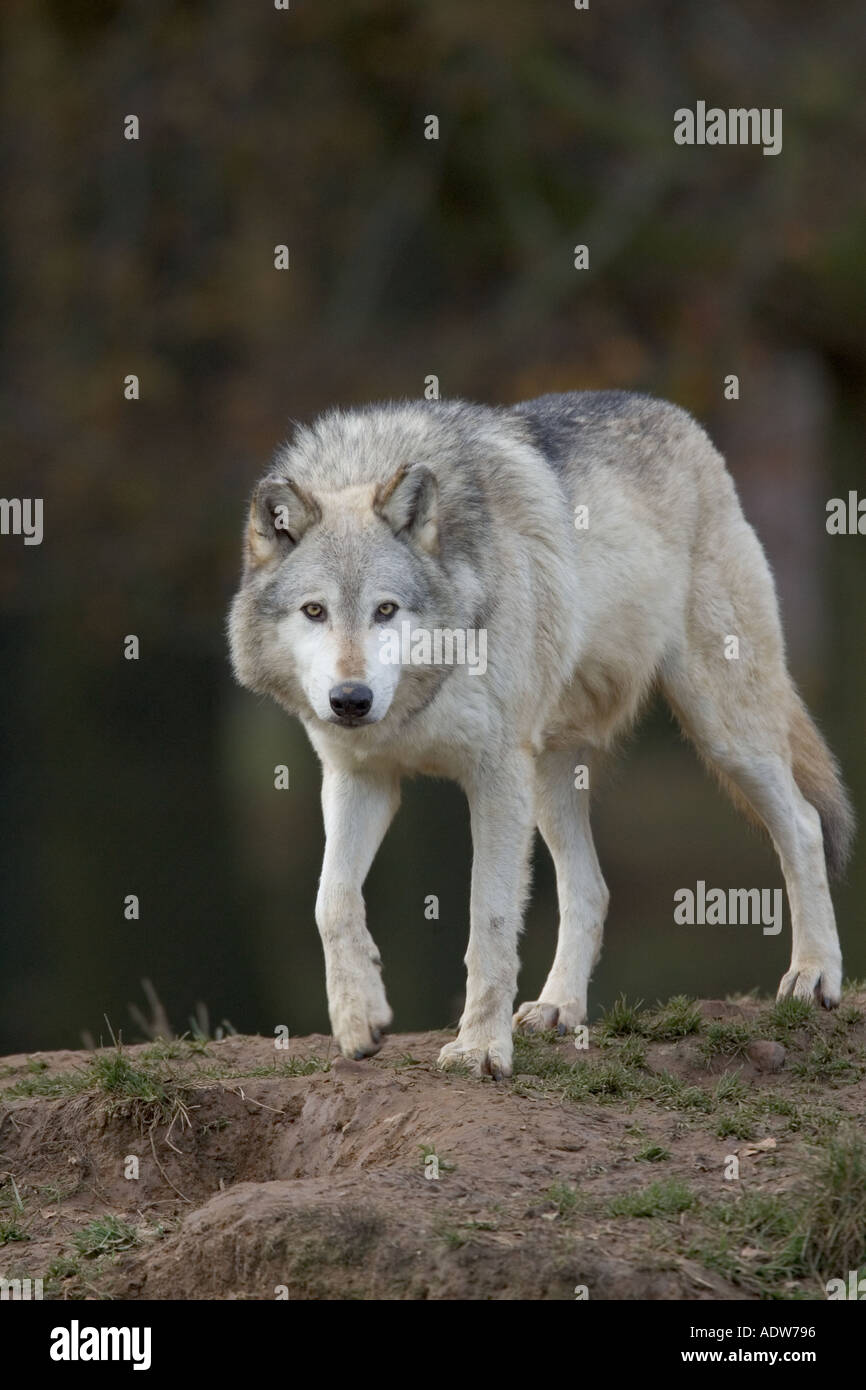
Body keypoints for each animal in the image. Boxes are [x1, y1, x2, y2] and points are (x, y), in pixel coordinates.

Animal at [228, 391, 853, 1079]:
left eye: (385, 610)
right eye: (315, 611)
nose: (350, 700)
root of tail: (674, 416)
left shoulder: (495, 777)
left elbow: (490, 916)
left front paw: (479, 1048)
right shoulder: (358, 776)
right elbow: (331, 901)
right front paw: (358, 1019)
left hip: (722, 732)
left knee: (802, 823)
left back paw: (815, 976)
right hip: (552, 782)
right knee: (593, 888)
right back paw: (558, 1008)